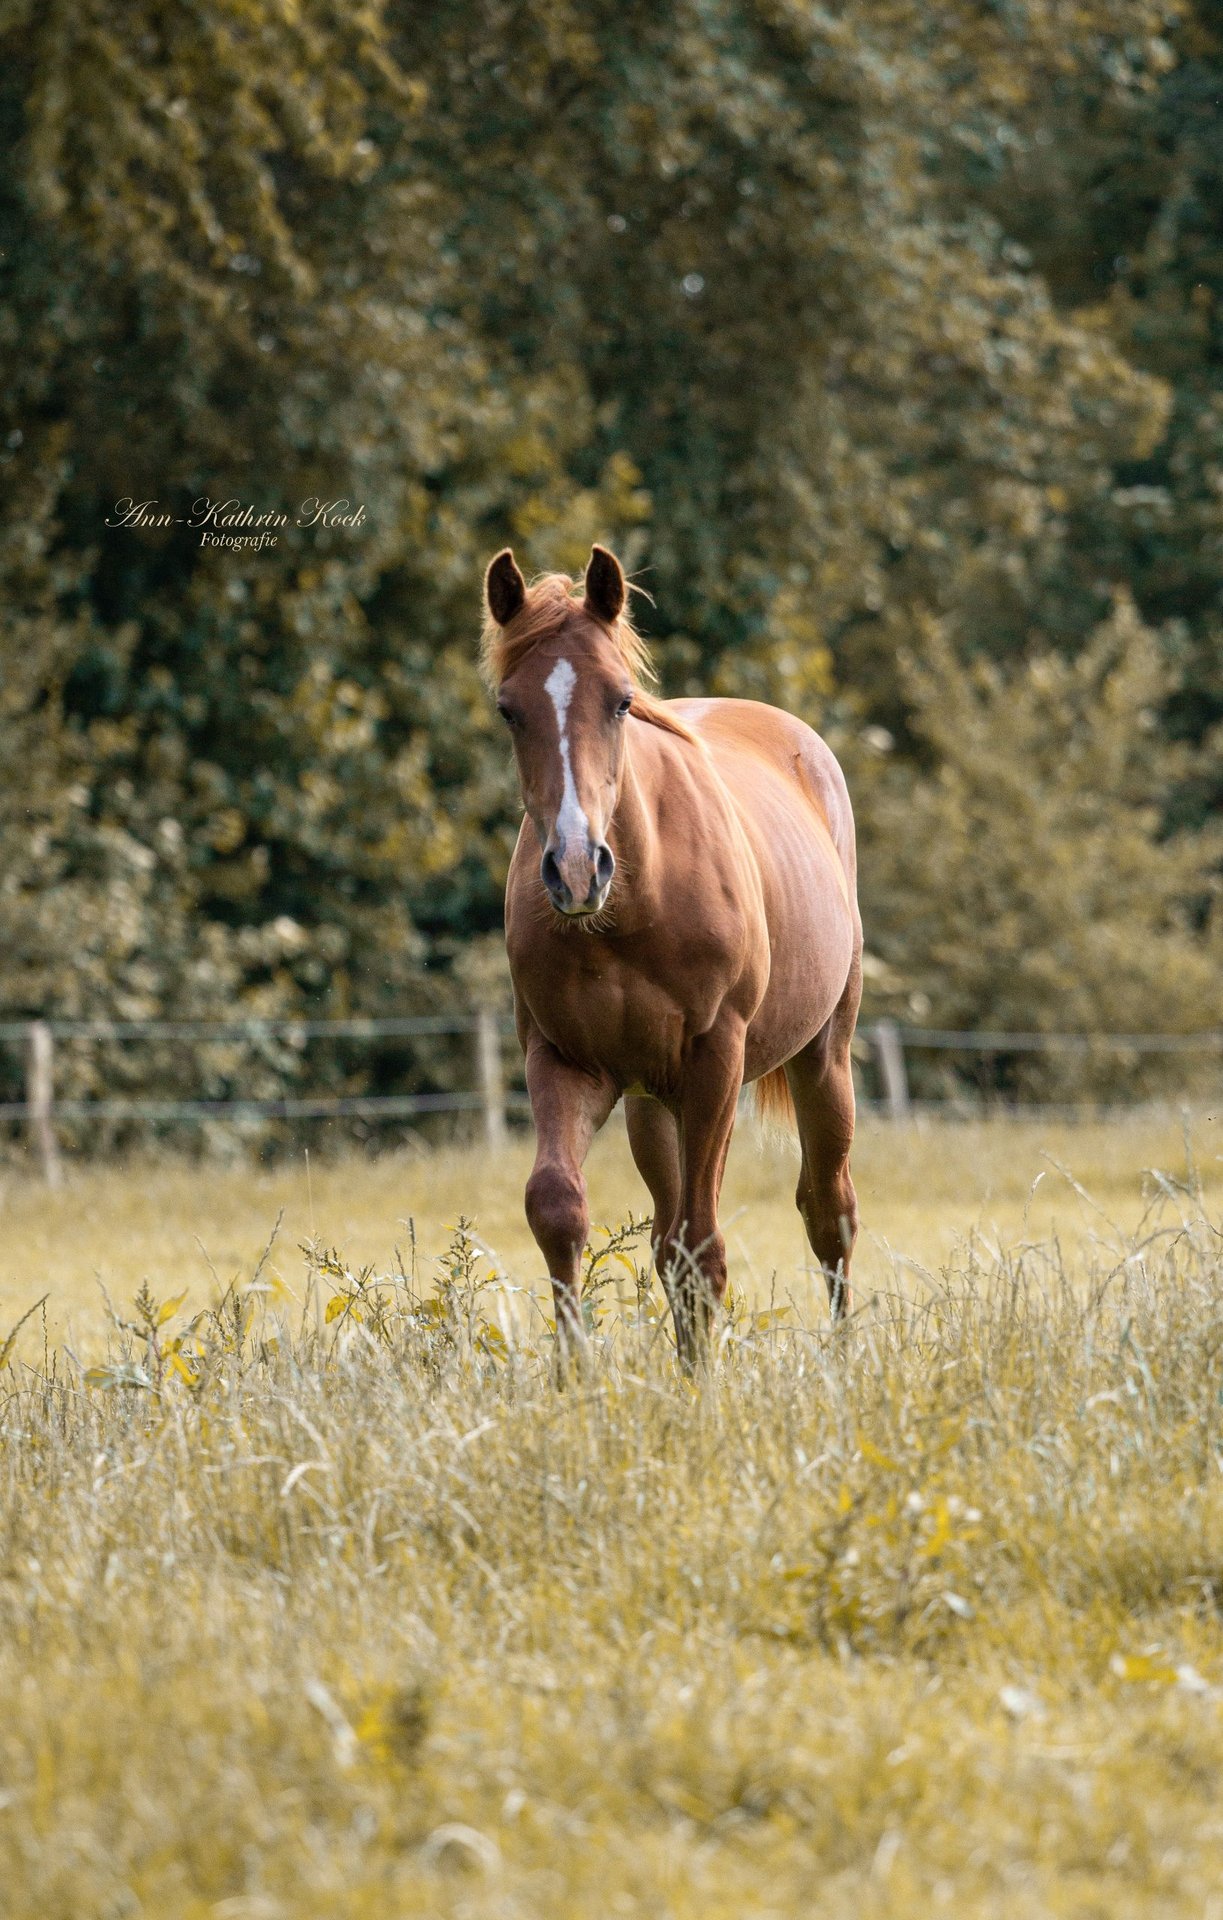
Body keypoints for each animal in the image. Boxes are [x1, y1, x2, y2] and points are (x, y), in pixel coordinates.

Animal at [483, 542, 862, 1365]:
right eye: (508, 709)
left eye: (621, 701)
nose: (575, 869)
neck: (633, 905)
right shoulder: (563, 1059)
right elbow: (558, 1209)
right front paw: (574, 1377)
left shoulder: (714, 1059)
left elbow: (704, 1248)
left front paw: (699, 1386)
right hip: (650, 1104)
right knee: (666, 1234)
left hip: (822, 1058)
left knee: (828, 1211)